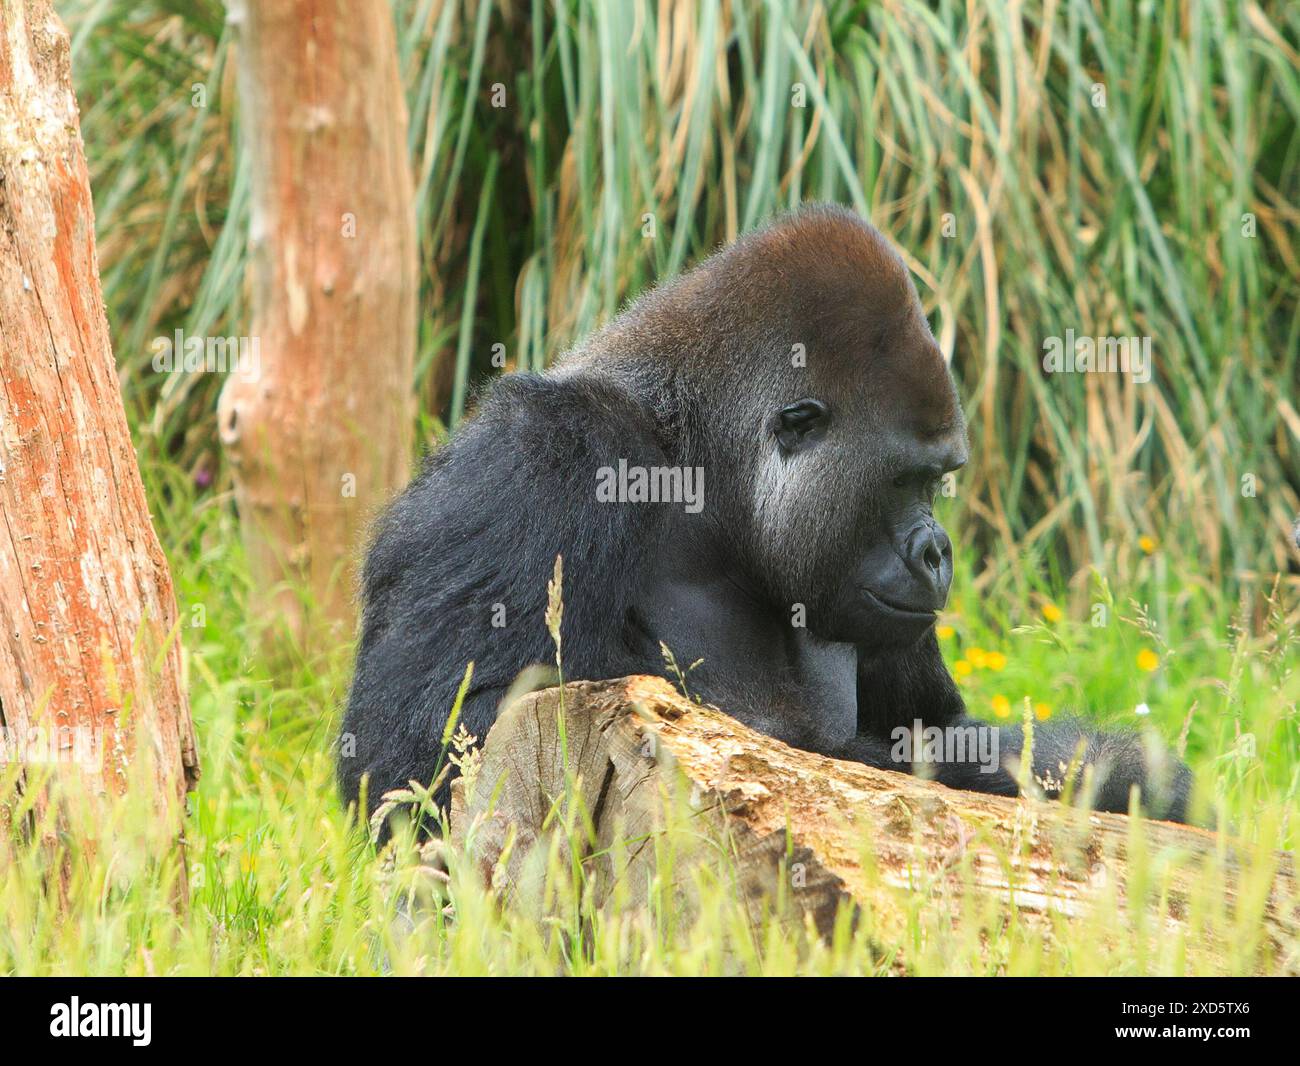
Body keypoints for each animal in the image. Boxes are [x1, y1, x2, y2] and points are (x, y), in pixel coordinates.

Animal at [339, 203, 1191, 829]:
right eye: (907, 480)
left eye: (938, 481)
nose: (938, 550)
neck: (701, 471)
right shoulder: (544, 453)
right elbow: (427, 749)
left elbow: (944, 720)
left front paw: (1118, 776)